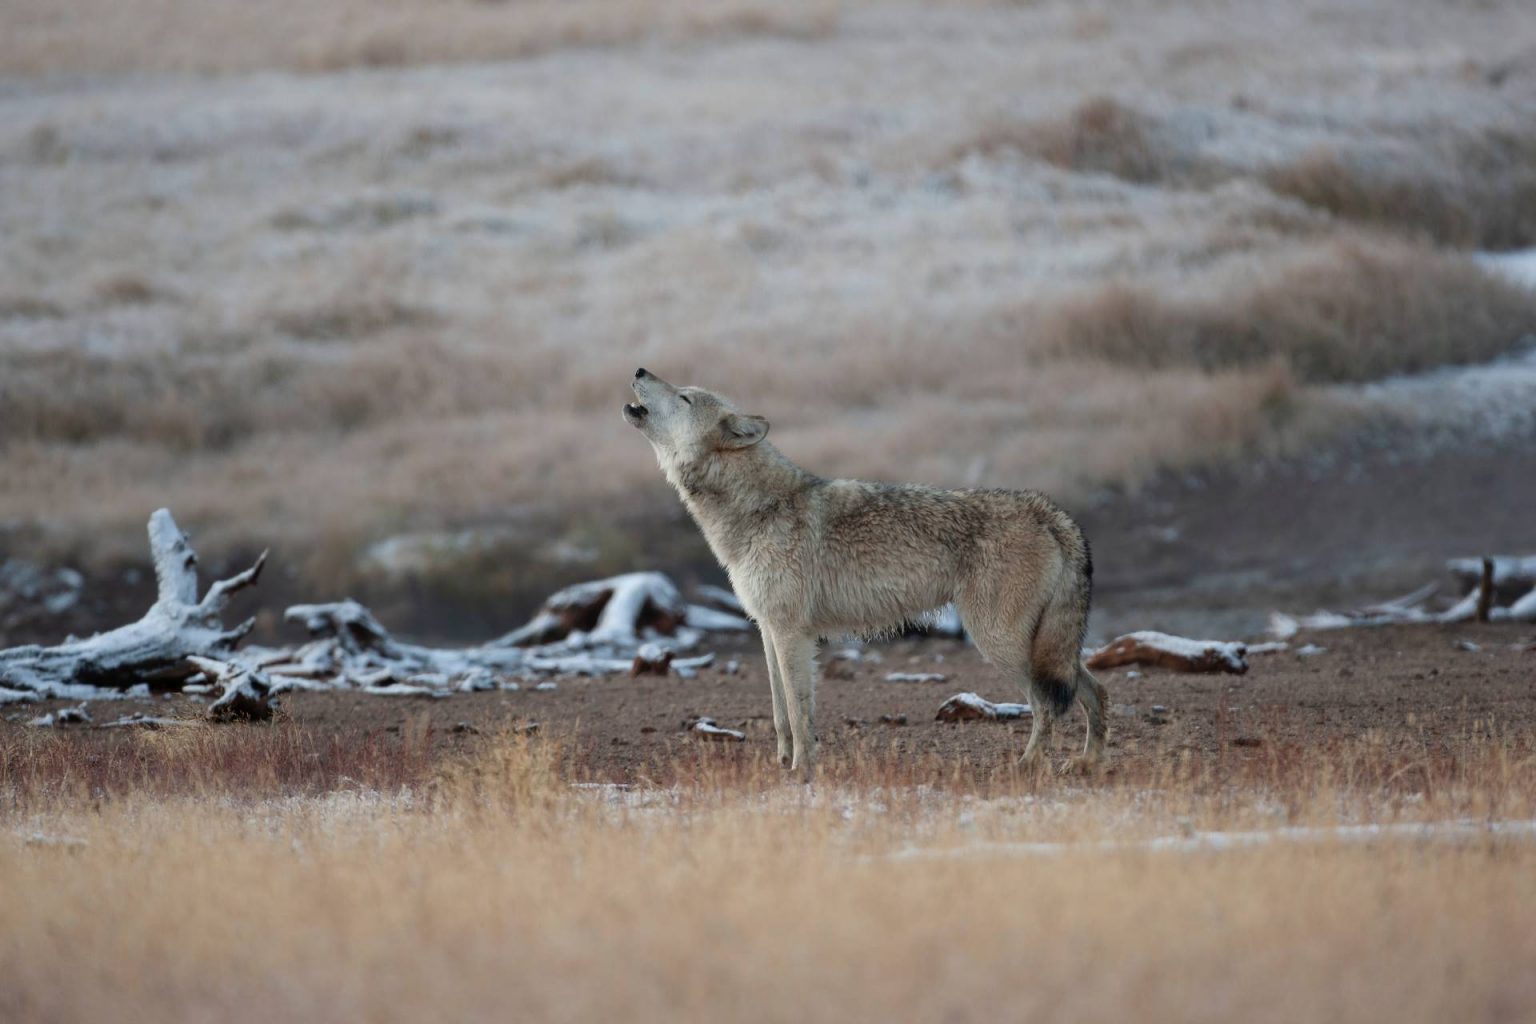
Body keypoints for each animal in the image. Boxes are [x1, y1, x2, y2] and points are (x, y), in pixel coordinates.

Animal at [623, 368, 1107, 778]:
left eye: (684, 397)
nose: (641, 370)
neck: (758, 509)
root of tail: (1048, 510)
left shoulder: (791, 633)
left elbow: (798, 713)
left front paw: (802, 772)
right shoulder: (768, 629)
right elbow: (781, 714)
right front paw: (783, 766)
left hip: (1001, 644)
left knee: (1048, 705)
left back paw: (1028, 765)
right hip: (1040, 650)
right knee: (1094, 691)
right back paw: (1087, 762)